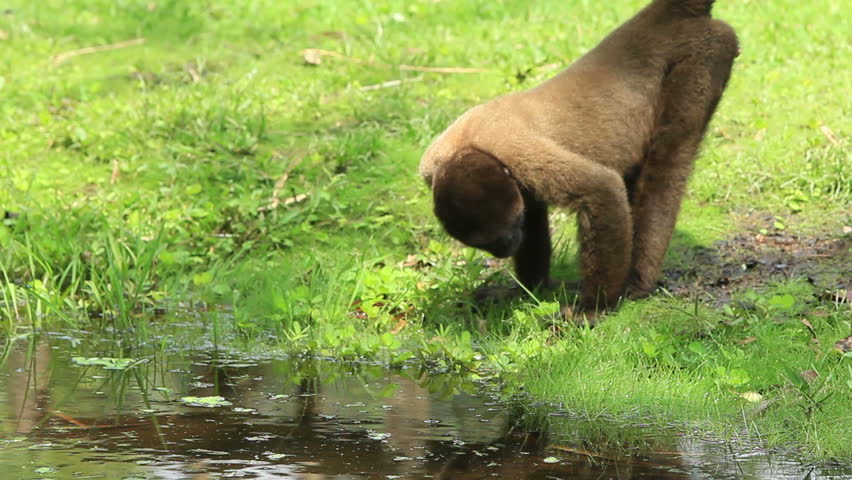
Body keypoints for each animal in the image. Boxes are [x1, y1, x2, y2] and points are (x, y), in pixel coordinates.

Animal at [420, 0, 738, 317]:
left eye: (504, 236)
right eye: (487, 244)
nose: (505, 249)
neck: (465, 147)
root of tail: (661, 16)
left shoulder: (516, 152)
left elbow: (602, 190)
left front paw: (593, 308)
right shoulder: (436, 169)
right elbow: (534, 213)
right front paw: (528, 289)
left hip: (706, 53)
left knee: (667, 164)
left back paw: (637, 283)